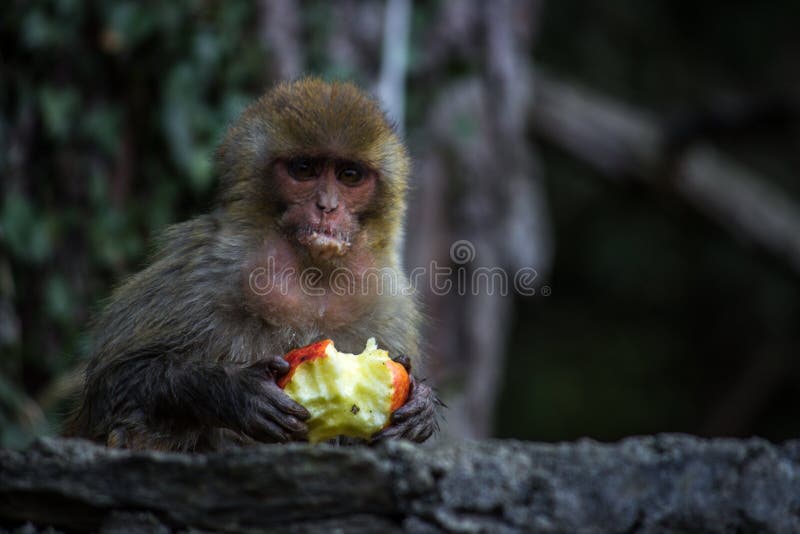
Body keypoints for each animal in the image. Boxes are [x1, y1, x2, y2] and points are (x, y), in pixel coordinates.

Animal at [64, 78, 440, 451]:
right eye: (304, 169)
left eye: (349, 175)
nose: (327, 206)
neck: (312, 274)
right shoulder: (206, 265)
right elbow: (115, 379)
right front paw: (234, 392)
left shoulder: (389, 297)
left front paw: (421, 407)